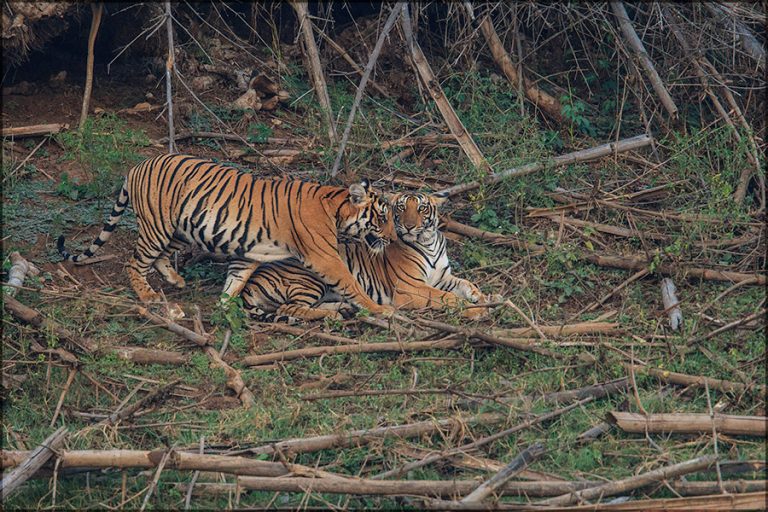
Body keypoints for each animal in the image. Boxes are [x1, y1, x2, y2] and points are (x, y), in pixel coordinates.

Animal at [57, 154, 397, 316]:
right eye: (382, 217)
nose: (393, 238)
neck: (335, 208)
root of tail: (137, 166)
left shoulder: (249, 255)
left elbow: (236, 281)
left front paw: (225, 306)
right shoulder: (324, 257)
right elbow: (351, 283)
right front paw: (380, 309)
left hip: (180, 229)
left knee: (161, 257)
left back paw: (176, 280)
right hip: (157, 225)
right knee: (135, 262)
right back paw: (148, 295)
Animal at [242, 191, 488, 322]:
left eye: (421, 209)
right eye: (401, 208)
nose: (408, 226)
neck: (429, 242)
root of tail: (251, 281)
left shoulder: (442, 277)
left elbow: (466, 283)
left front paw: (482, 297)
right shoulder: (409, 288)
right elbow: (446, 297)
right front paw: (476, 309)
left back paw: (344, 309)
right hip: (309, 278)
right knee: (288, 308)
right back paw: (334, 316)